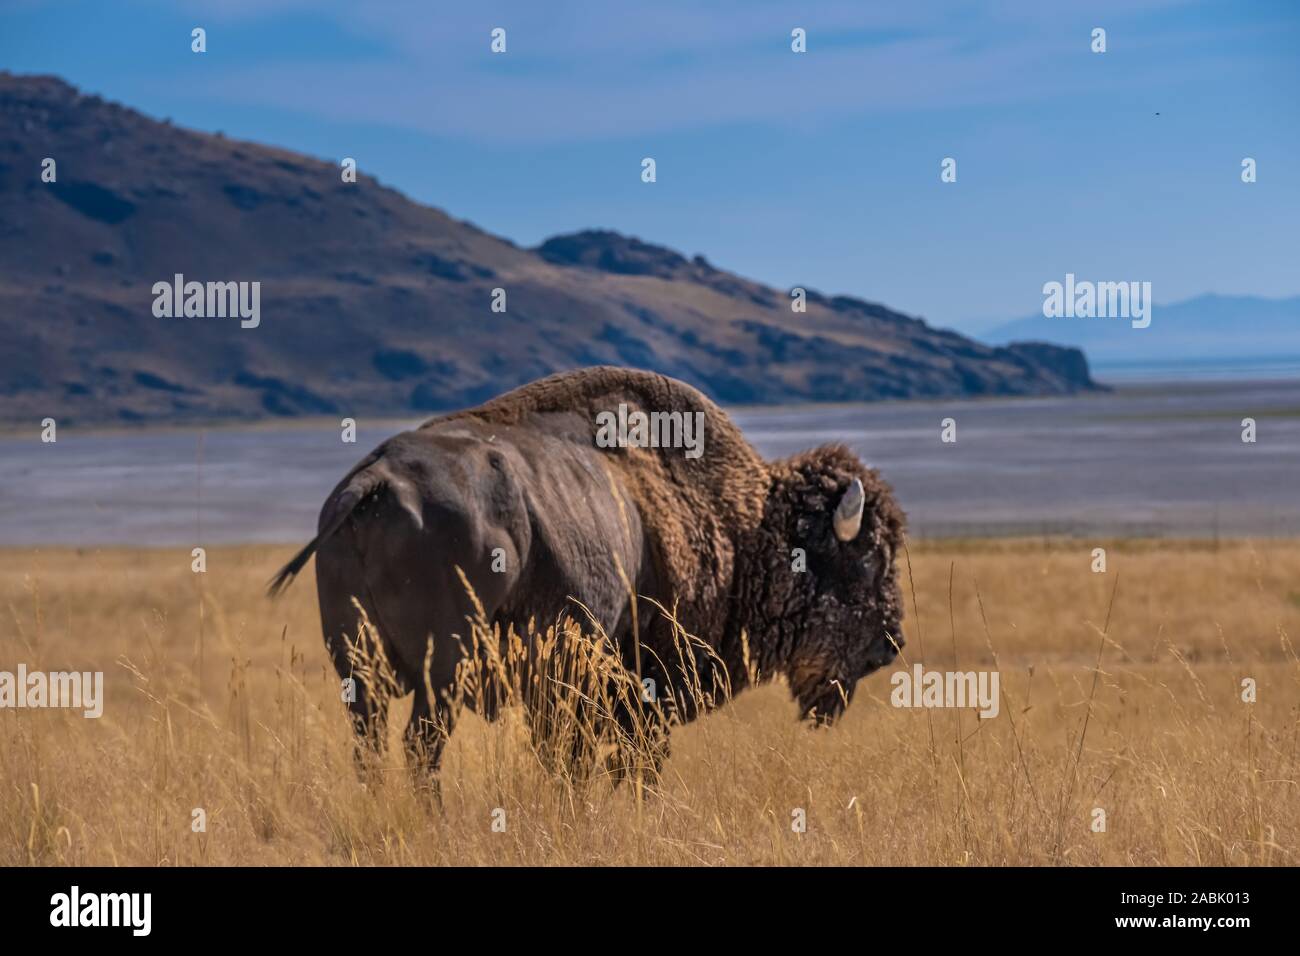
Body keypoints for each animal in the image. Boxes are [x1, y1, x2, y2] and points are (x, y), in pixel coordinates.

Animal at [270, 367, 905, 781]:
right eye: (866, 559)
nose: (889, 645)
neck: (743, 521)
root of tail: (371, 482)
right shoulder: (643, 686)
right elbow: (626, 763)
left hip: (361, 669)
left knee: (372, 745)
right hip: (443, 672)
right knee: (420, 748)